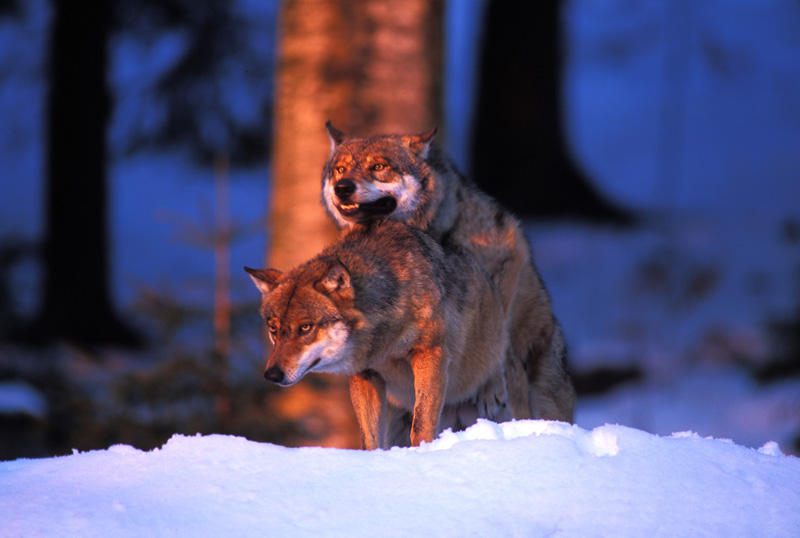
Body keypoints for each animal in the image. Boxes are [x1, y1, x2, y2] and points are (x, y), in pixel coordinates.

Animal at [245, 220, 509, 449]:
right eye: (273, 330)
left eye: (306, 327)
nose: (272, 374)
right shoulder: (365, 374)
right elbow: (369, 438)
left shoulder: (429, 354)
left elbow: (421, 424)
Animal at [321, 122, 575, 422]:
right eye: (340, 169)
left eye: (379, 166)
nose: (342, 188)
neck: (431, 227)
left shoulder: (506, 255)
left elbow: (496, 331)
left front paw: (490, 388)